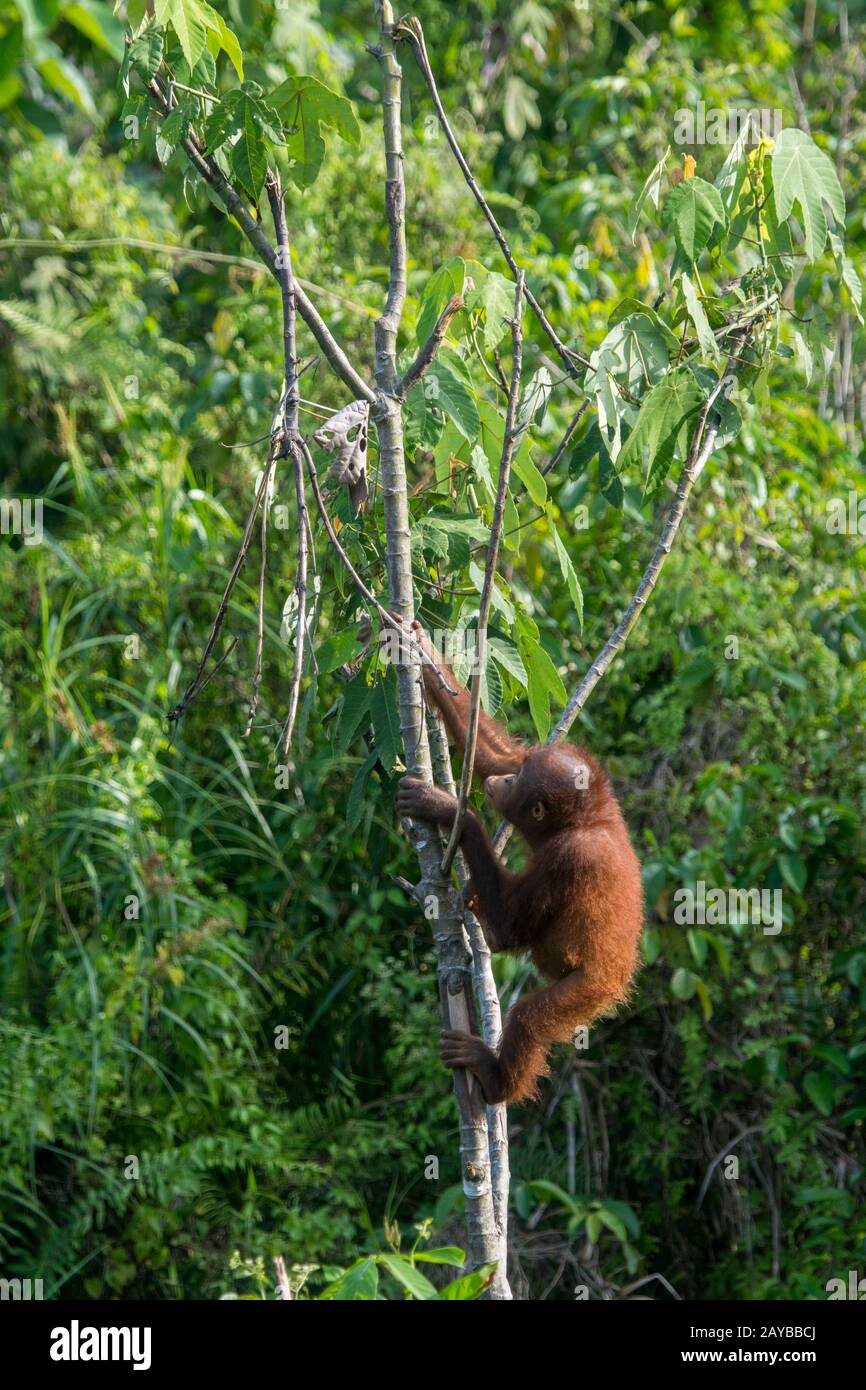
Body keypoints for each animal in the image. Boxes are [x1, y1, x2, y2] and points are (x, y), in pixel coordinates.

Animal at [392, 615, 643, 1105]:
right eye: (520, 769)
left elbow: (514, 924)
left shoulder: (566, 859)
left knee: (530, 1017)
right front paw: (416, 643)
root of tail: (621, 978)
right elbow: (490, 756)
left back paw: (495, 1080)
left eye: (520, 782)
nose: (506, 781)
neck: (581, 821)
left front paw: (449, 810)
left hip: (586, 989)